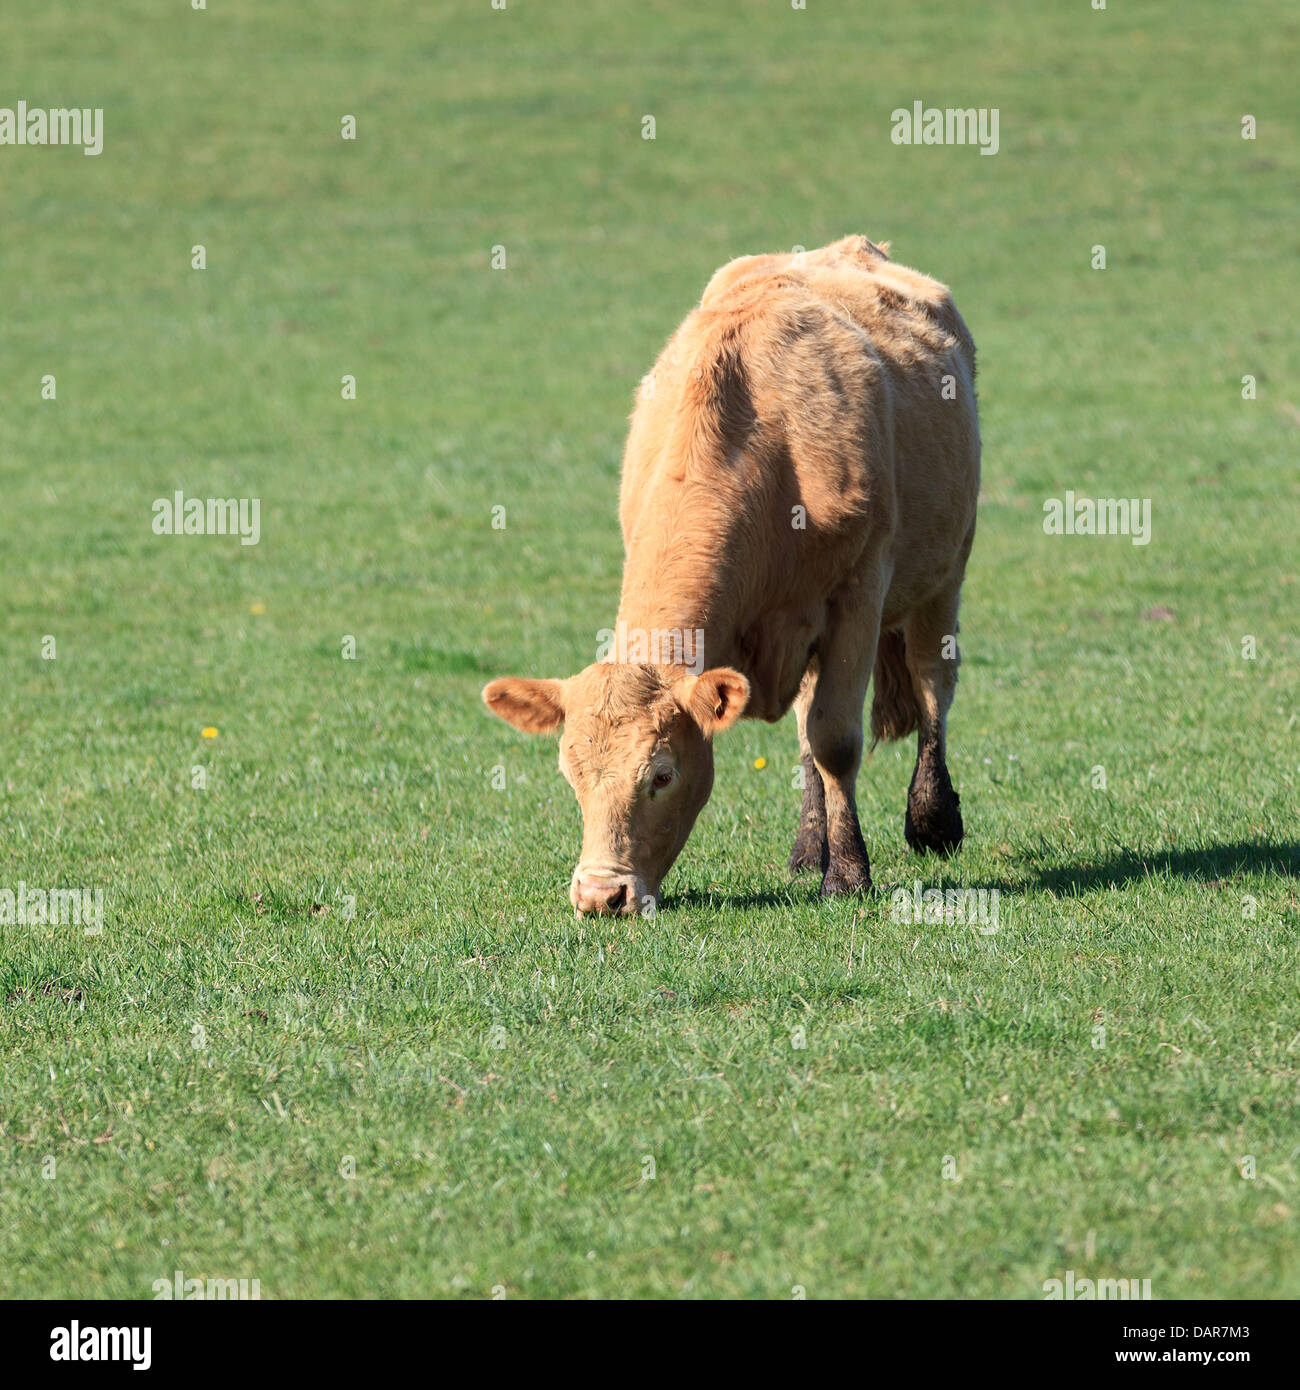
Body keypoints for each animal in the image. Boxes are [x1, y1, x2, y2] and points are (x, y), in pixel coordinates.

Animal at [484, 235, 980, 916]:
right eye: (571, 775)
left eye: (662, 774)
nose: (601, 895)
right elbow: (814, 733)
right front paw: (824, 857)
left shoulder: (859, 592)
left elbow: (836, 737)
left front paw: (850, 874)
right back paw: (810, 847)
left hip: (945, 572)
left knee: (933, 684)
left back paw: (932, 816)